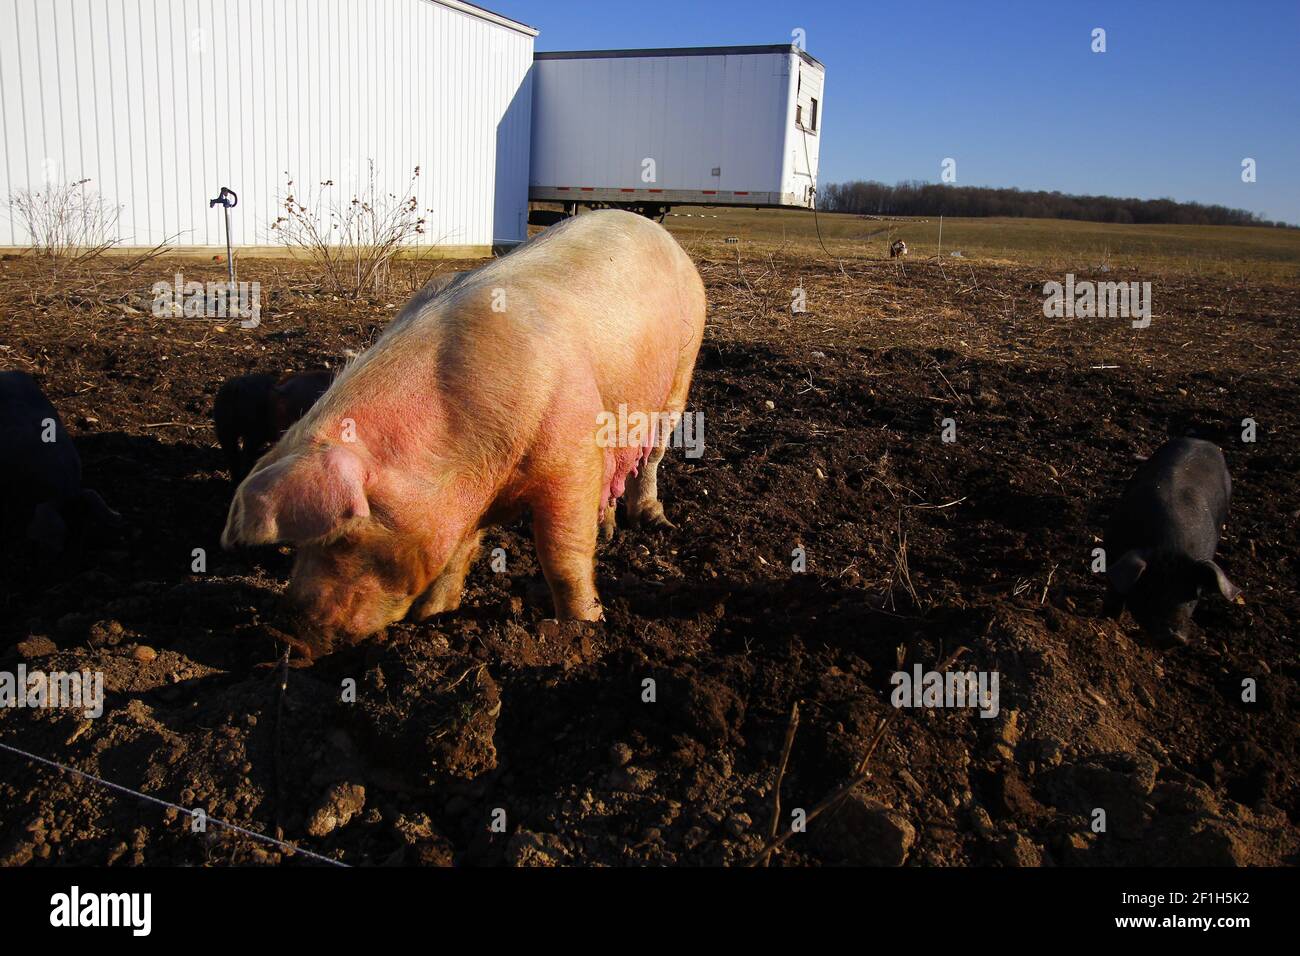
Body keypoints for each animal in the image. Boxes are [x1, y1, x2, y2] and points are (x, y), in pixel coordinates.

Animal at [221, 210, 706, 658]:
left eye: (344, 536)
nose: (284, 636)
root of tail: (654, 228)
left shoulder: (573, 458)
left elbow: (562, 556)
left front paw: (582, 627)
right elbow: (457, 553)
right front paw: (433, 617)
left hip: (682, 369)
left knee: (654, 454)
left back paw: (653, 521)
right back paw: (606, 531)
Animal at [1103, 437, 1241, 646]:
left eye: (1192, 596)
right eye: (1151, 589)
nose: (1174, 637)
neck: (1171, 546)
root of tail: (1203, 441)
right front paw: (1110, 620)